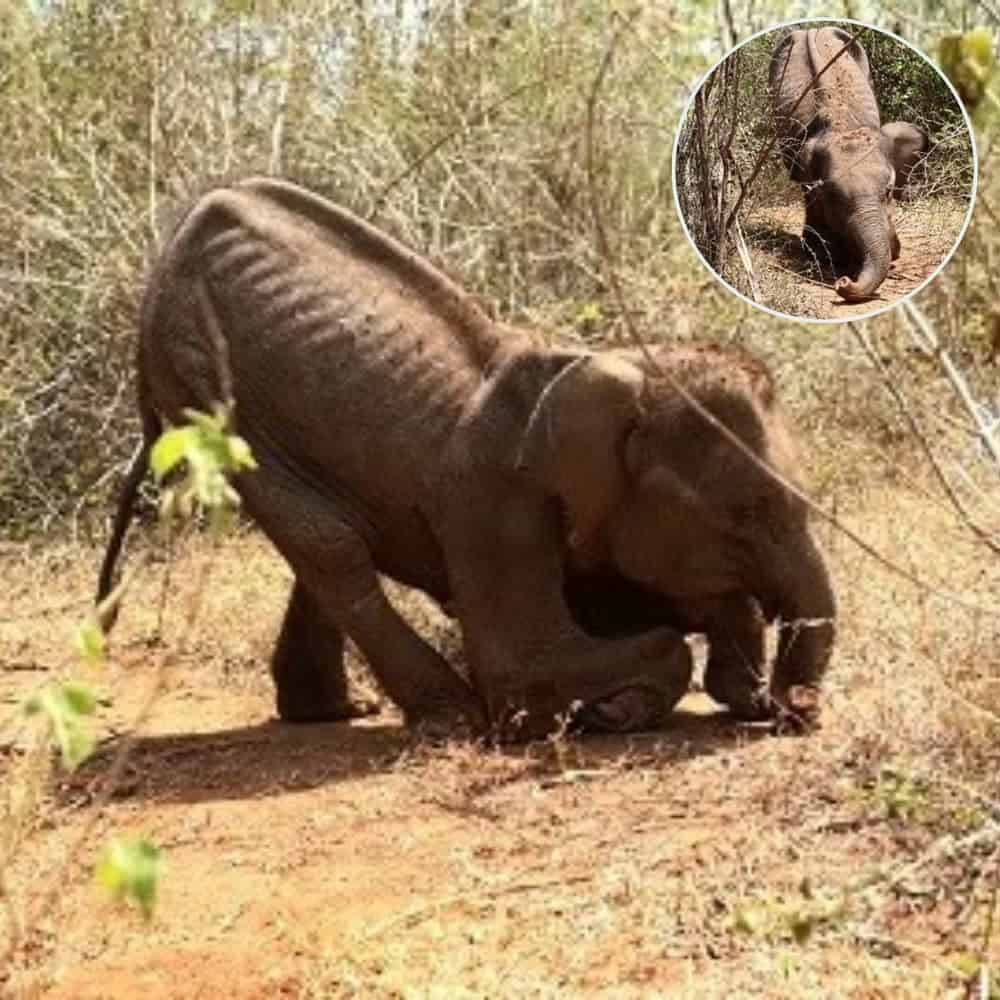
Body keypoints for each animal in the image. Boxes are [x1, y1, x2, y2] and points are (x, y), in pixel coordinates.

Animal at [96, 178, 835, 740]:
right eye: (746, 510)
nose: (792, 712)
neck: (608, 367)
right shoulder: (494, 499)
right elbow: (528, 666)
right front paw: (611, 710)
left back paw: (337, 712)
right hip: (198, 379)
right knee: (327, 544)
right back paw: (447, 718)